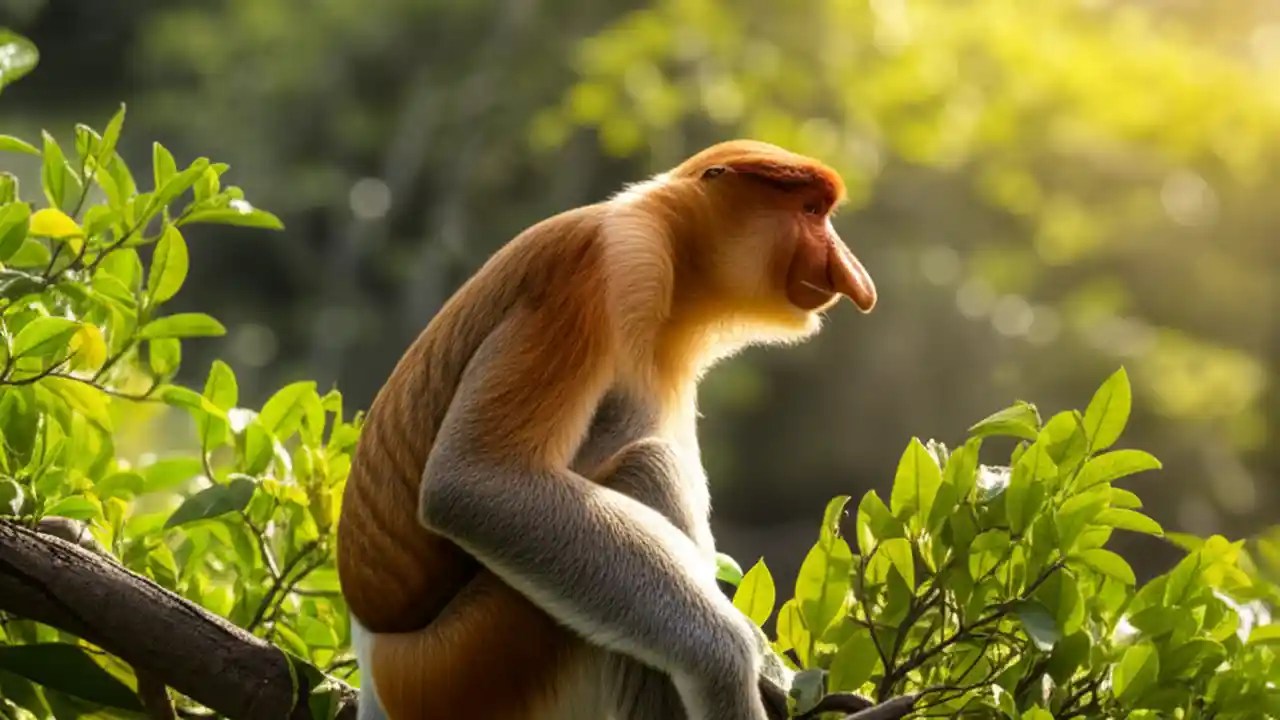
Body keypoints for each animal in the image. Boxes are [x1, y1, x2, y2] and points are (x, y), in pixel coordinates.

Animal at [336, 139, 877, 720]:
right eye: (810, 211)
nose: (854, 277)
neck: (671, 251)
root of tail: (375, 667)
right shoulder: (599, 266)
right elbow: (472, 482)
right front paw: (732, 662)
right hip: (466, 665)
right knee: (648, 465)